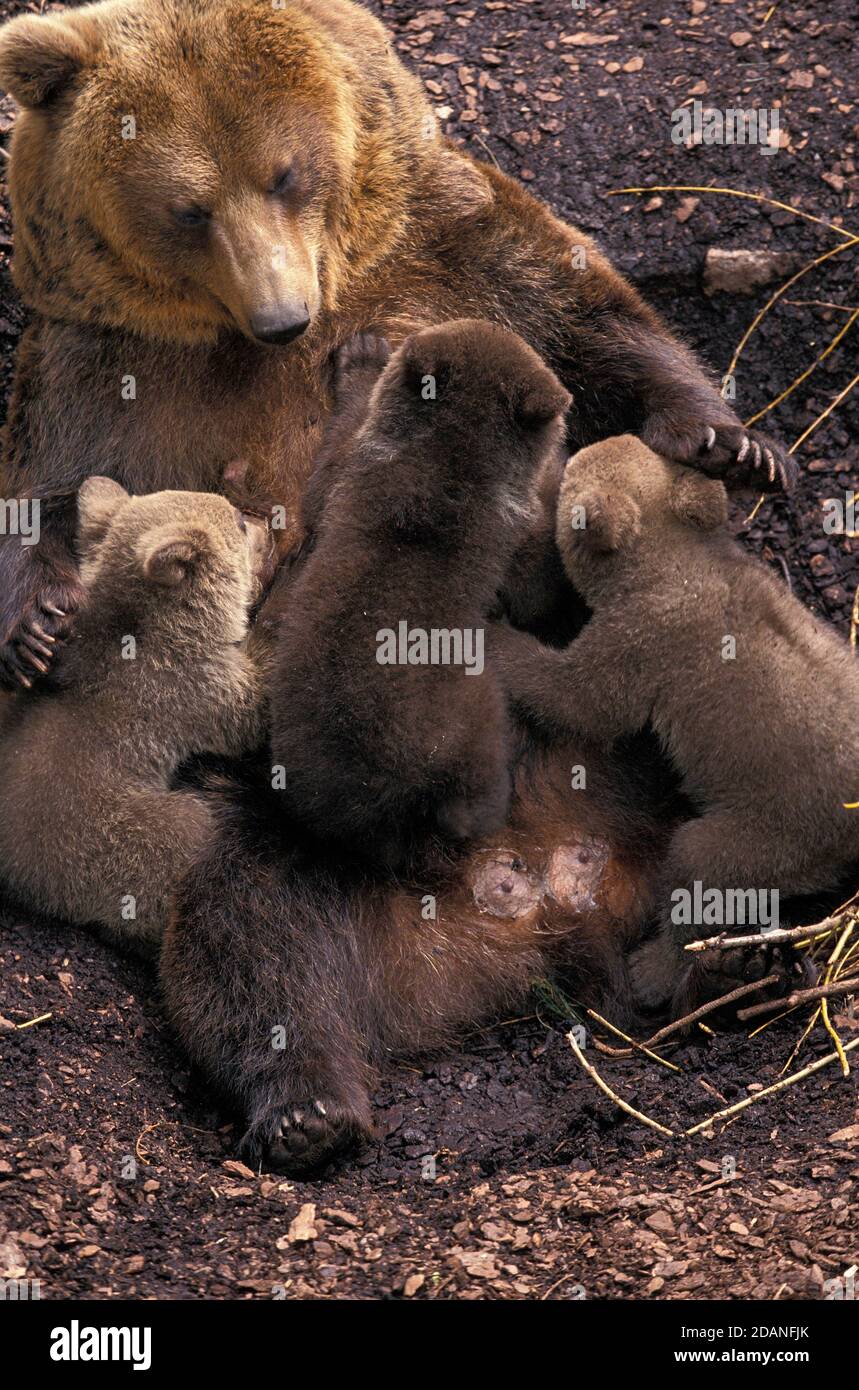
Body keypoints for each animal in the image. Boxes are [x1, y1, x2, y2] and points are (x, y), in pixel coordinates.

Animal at [493, 435, 859, 1017]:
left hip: (777, 832)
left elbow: (583, 701)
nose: (575, 445)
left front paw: (495, 639)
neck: (676, 559)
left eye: (572, 470)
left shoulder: (640, 640)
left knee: (700, 868)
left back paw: (655, 971)